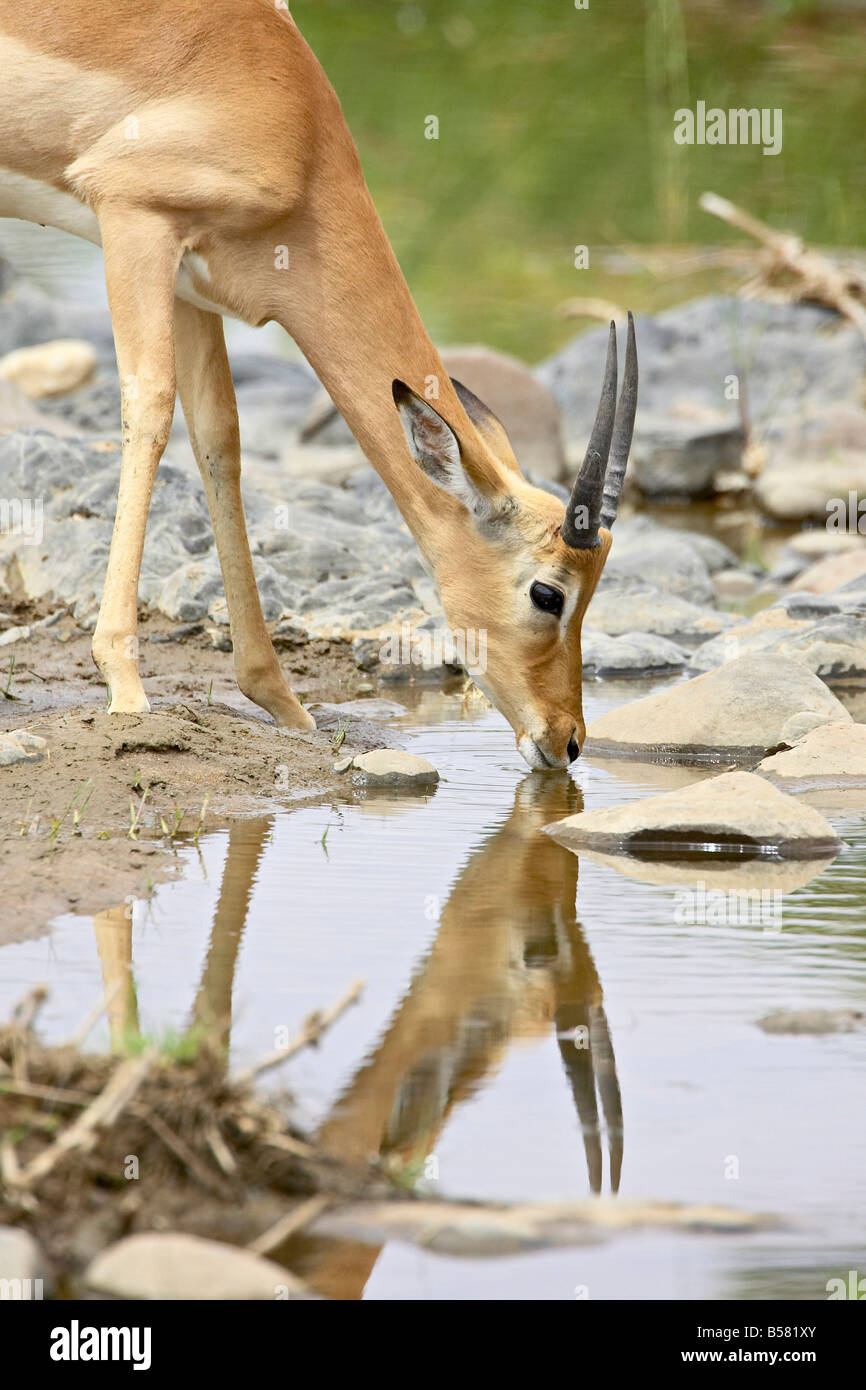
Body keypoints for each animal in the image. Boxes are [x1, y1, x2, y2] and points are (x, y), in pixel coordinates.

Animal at [0, 0, 637, 770]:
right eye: (549, 593)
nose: (566, 739)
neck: (290, 122)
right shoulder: (134, 222)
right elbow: (149, 410)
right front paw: (125, 687)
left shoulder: (192, 280)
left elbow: (219, 438)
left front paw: (283, 702)